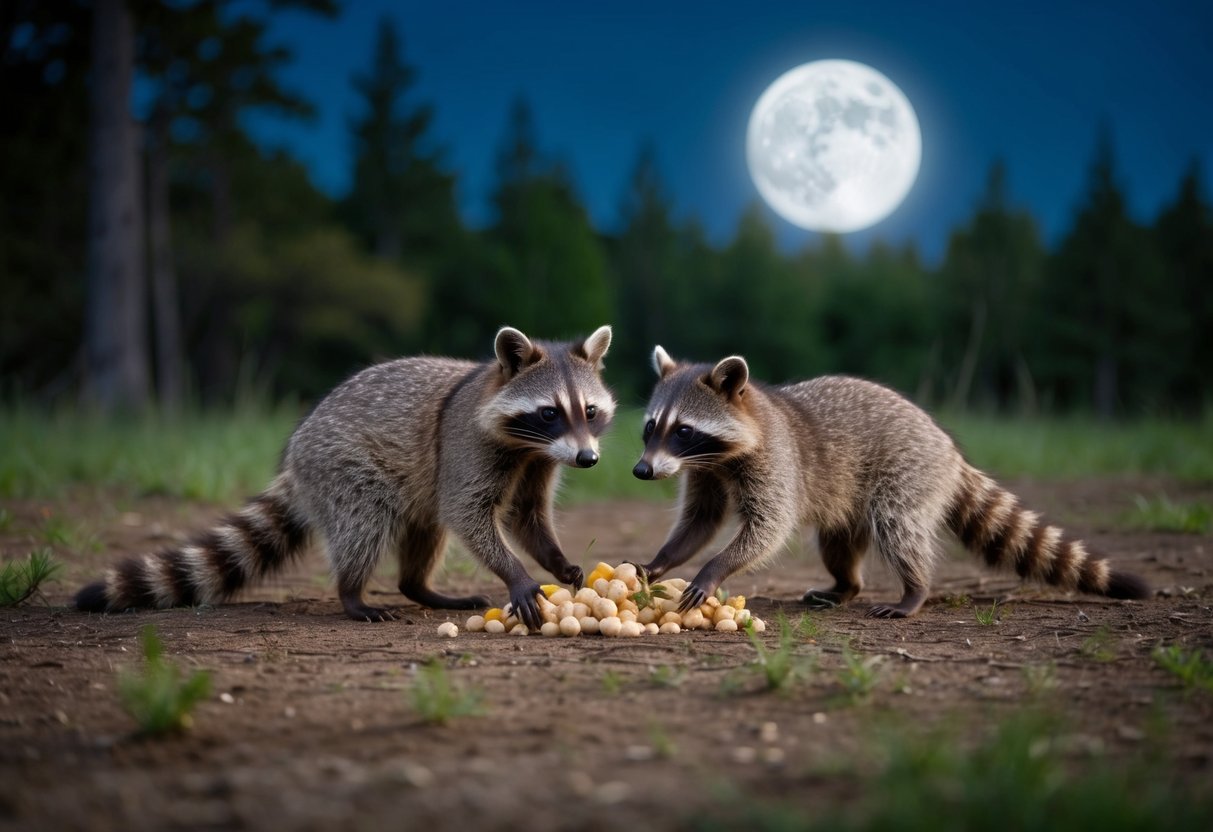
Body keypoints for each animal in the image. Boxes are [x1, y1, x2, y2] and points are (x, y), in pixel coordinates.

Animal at [75, 326, 615, 626]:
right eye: (549, 412)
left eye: (589, 411)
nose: (588, 460)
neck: (529, 444)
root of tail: (296, 455)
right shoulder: (470, 447)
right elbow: (468, 513)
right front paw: (516, 573)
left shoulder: (539, 461)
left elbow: (526, 514)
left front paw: (555, 559)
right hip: (342, 467)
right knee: (365, 523)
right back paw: (352, 593)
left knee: (424, 527)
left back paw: (419, 587)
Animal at [632, 346, 1149, 618]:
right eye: (651, 426)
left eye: (683, 430)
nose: (641, 471)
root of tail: (948, 449)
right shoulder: (706, 472)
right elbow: (700, 521)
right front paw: (660, 561)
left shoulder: (774, 462)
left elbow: (768, 527)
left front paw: (714, 568)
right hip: (850, 501)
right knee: (838, 545)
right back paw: (846, 585)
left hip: (908, 472)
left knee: (899, 528)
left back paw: (914, 590)